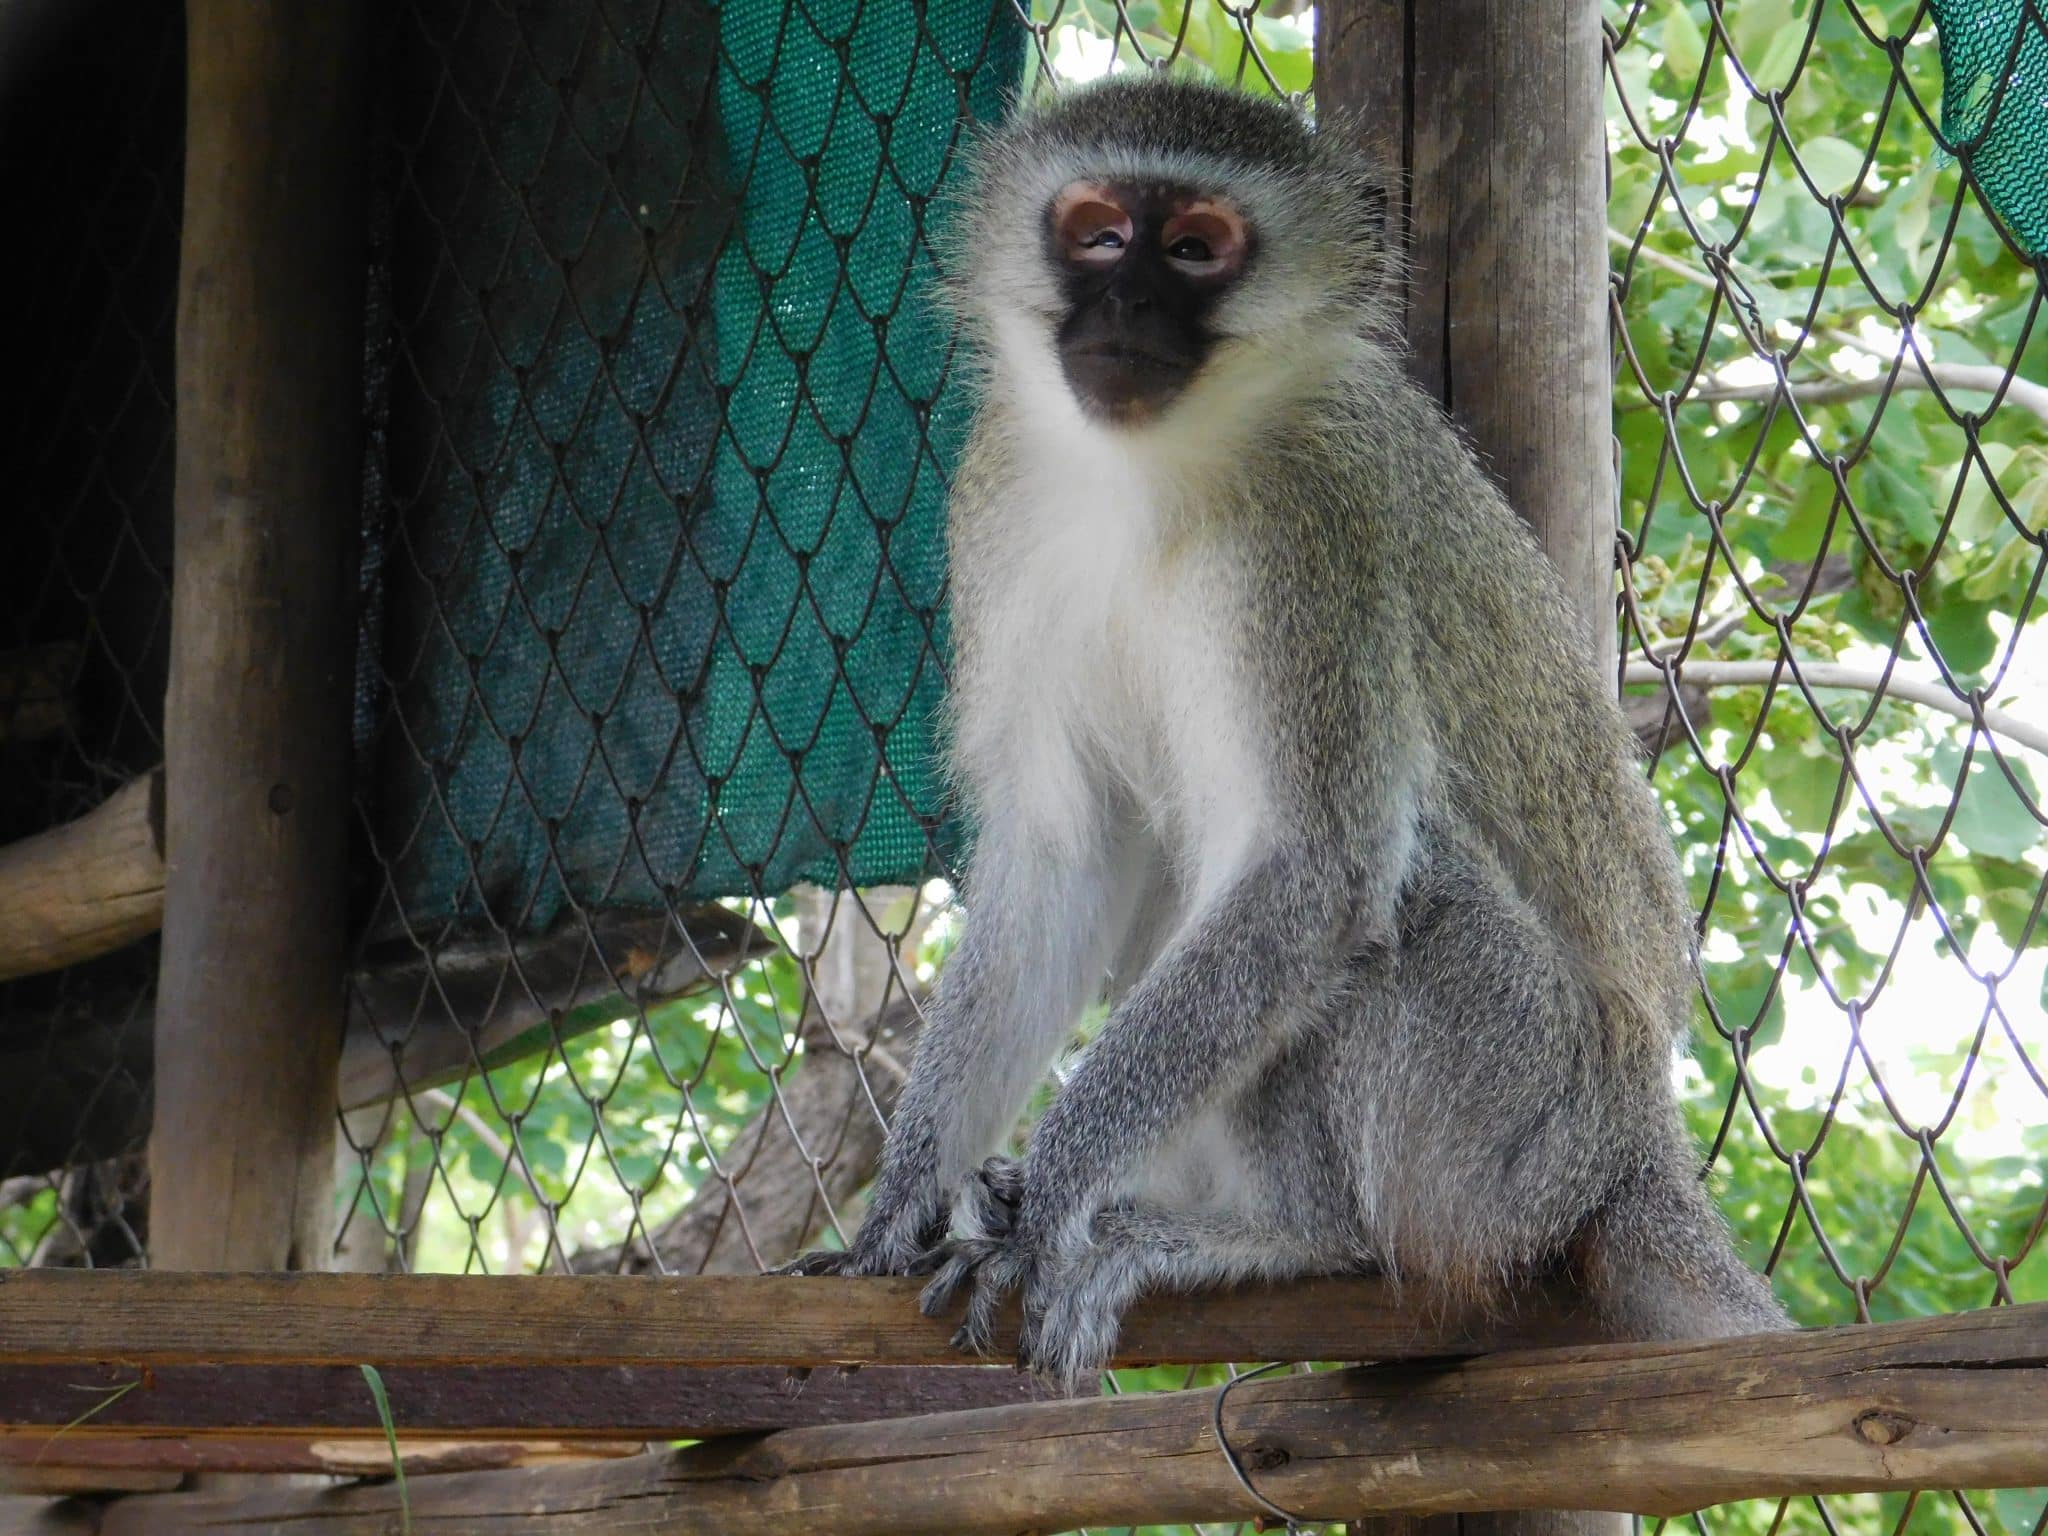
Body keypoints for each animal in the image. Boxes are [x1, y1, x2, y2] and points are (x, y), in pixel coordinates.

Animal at [786, 73, 1789, 1389]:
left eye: (1194, 249)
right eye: (1097, 233)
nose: (1124, 305)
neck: (1157, 464)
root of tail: (1630, 1152)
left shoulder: (1317, 528)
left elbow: (1313, 876)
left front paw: (1048, 1200)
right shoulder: (999, 498)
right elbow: (1061, 857)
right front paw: (905, 1202)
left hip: (1513, 1125)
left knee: (1400, 888)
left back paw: (1283, 1233)